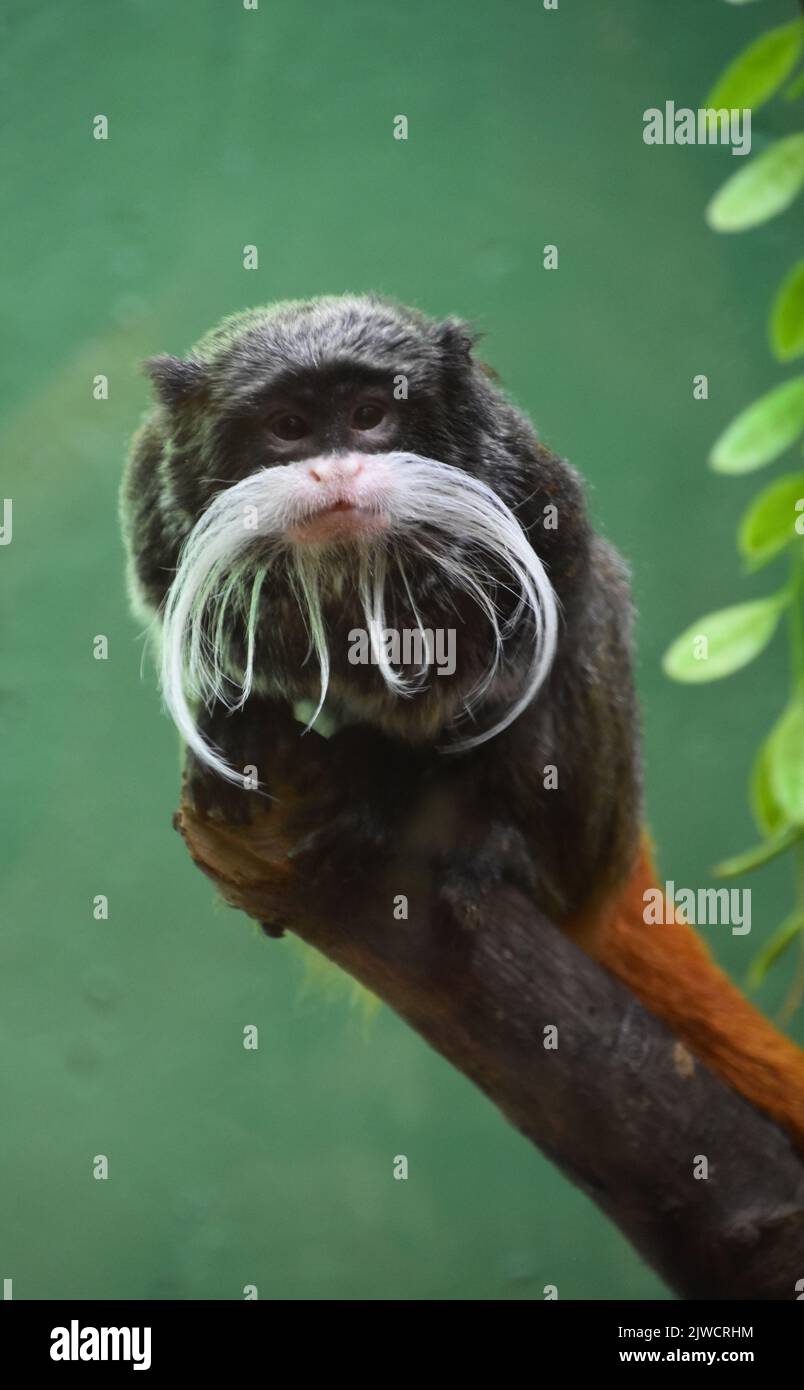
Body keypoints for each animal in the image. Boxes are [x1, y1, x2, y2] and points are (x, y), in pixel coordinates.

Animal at [121, 294, 804, 1153]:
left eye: (370, 415)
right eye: (289, 427)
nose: (336, 471)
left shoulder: (523, 485)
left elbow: (555, 605)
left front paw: (388, 791)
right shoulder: (158, 516)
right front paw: (237, 729)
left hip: (590, 828)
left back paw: (495, 847)